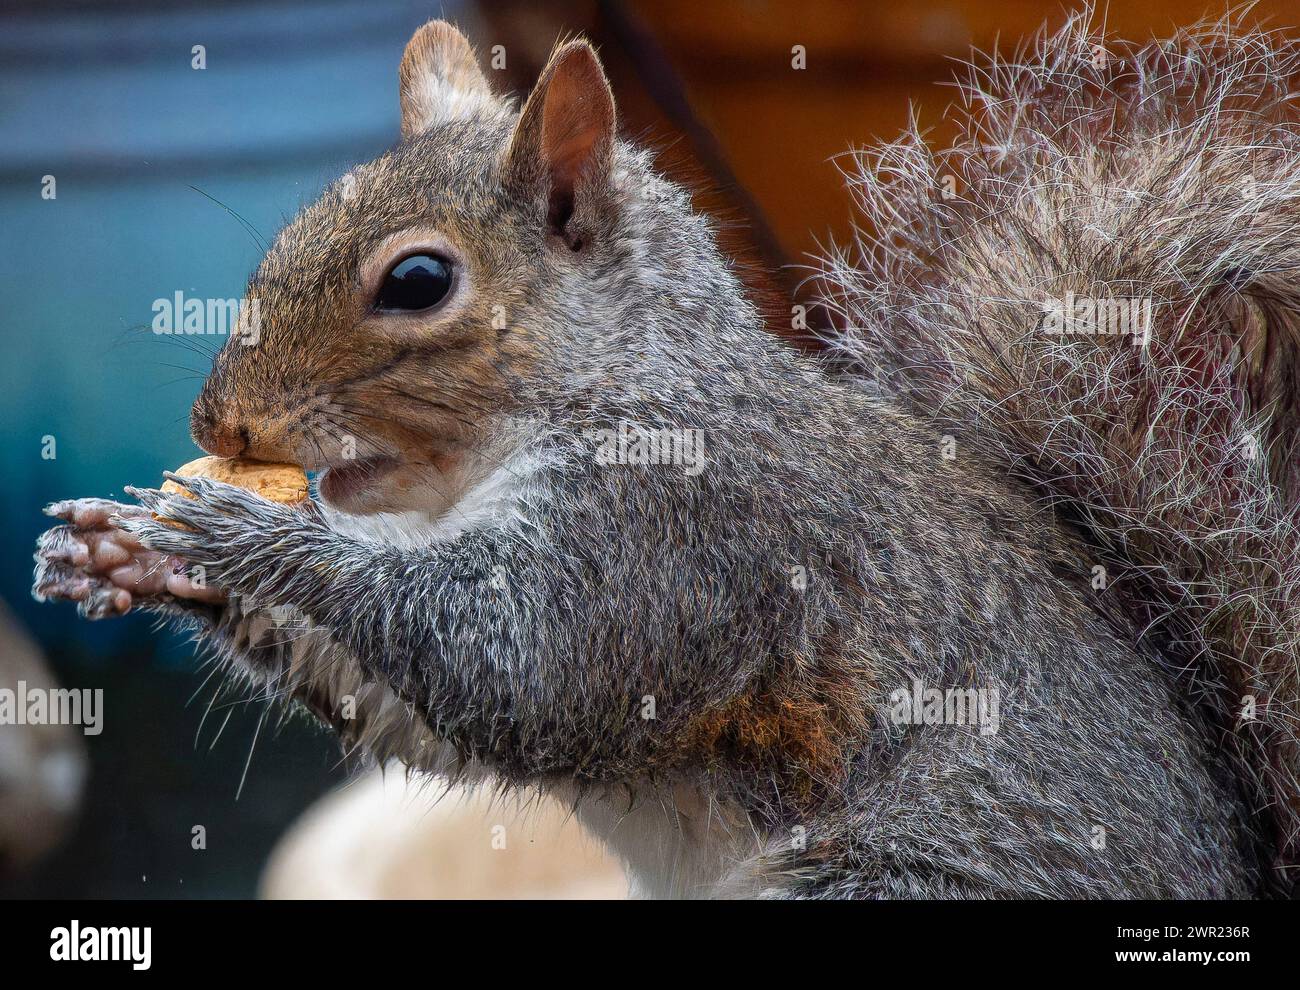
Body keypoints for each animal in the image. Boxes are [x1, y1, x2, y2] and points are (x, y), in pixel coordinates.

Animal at [30, 11, 1300, 898]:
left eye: (418, 281)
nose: (219, 430)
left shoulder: (678, 534)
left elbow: (516, 667)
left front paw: (242, 530)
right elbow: (405, 705)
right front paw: (125, 555)